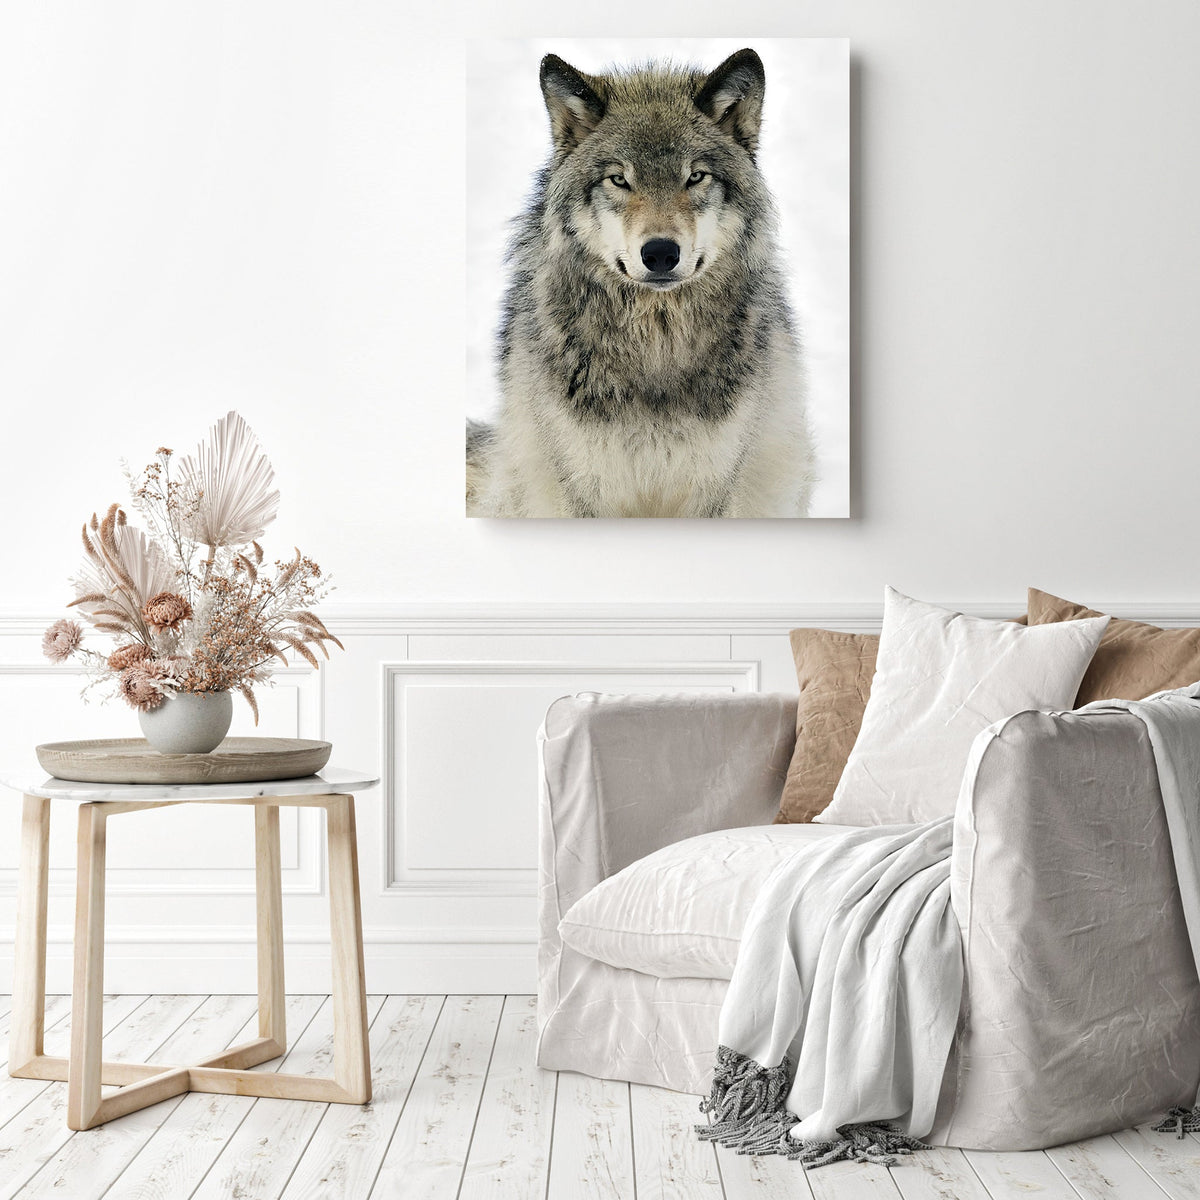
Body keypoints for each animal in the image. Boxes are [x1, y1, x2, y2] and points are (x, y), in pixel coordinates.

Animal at [467, 48, 816, 518]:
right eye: (619, 179)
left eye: (695, 176)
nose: (661, 253)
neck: (655, 345)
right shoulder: (583, 486)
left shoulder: (715, 487)